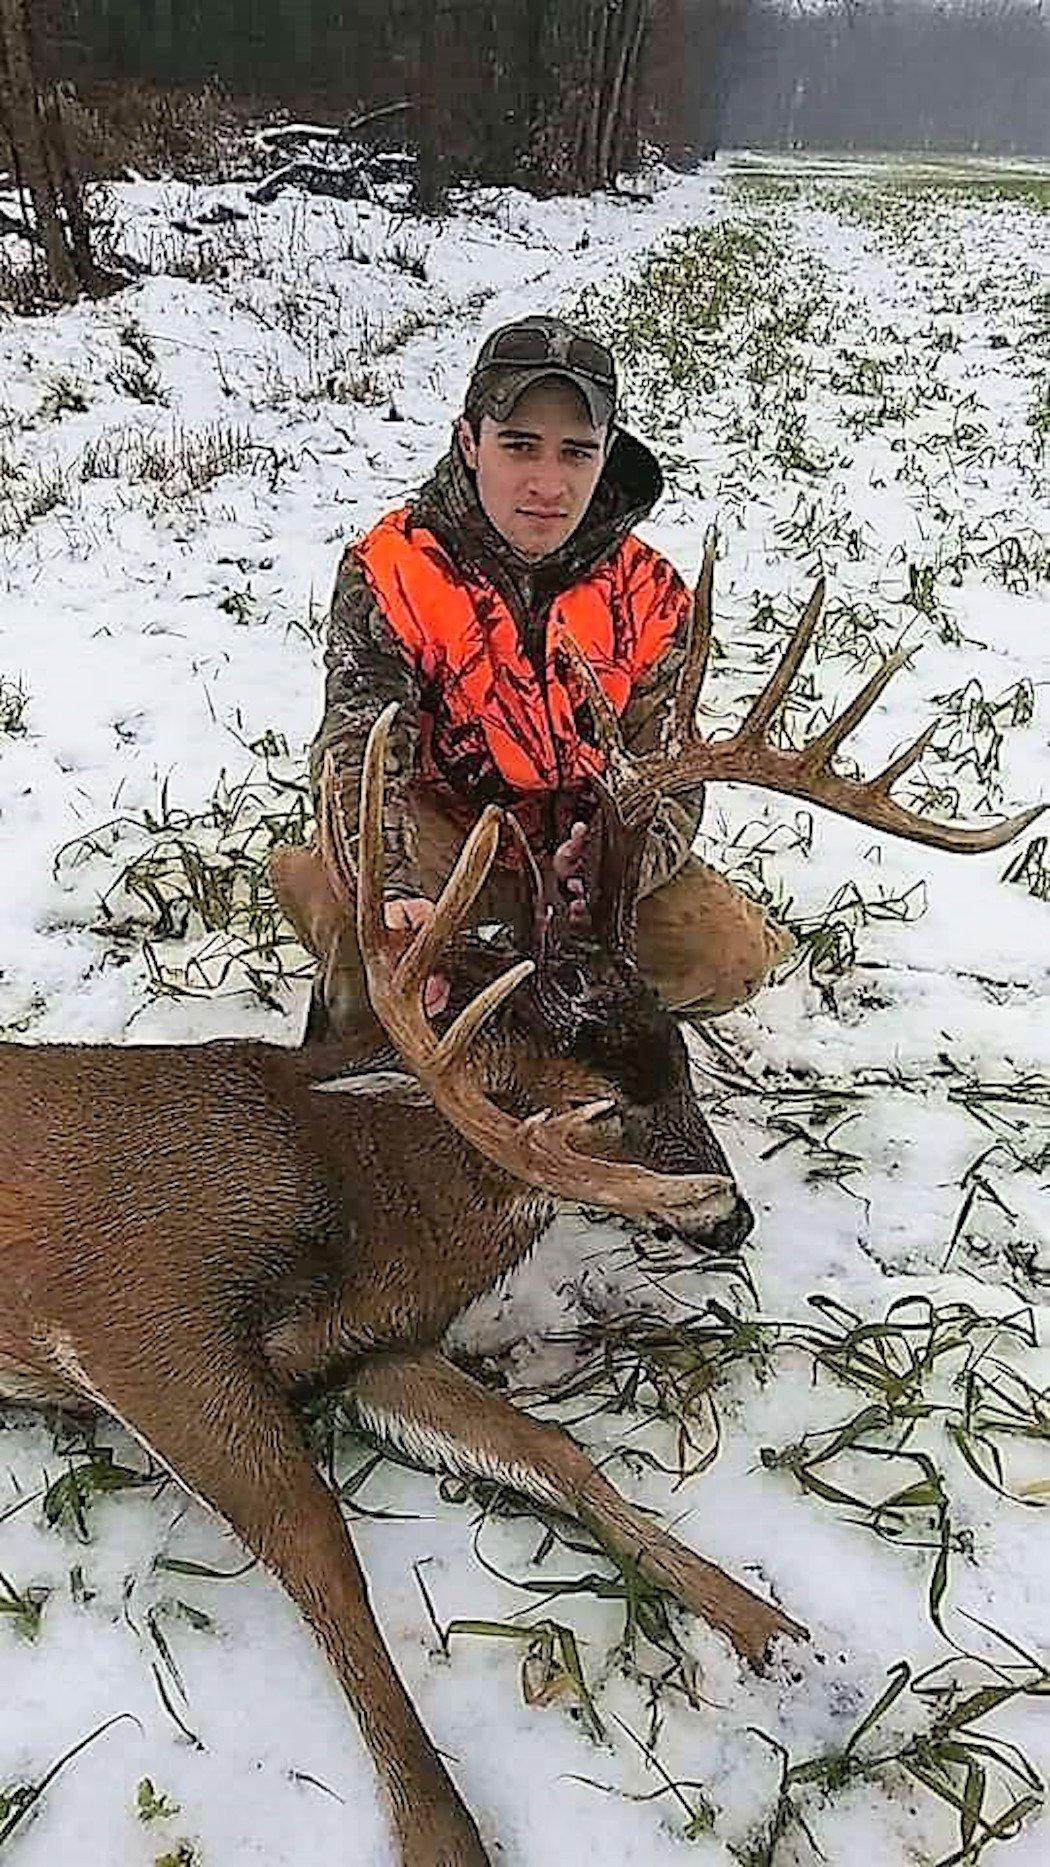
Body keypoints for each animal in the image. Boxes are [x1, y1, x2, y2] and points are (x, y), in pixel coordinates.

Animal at [0, 544, 1039, 1866]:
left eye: (680, 1058)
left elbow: (556, 1454)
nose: (730, 1218)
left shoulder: (368, 1348)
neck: (359, 1201)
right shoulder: (137, 1311)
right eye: (592, 1108)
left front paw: (782, 1637)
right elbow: (321, 1550)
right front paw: (441, 1830)